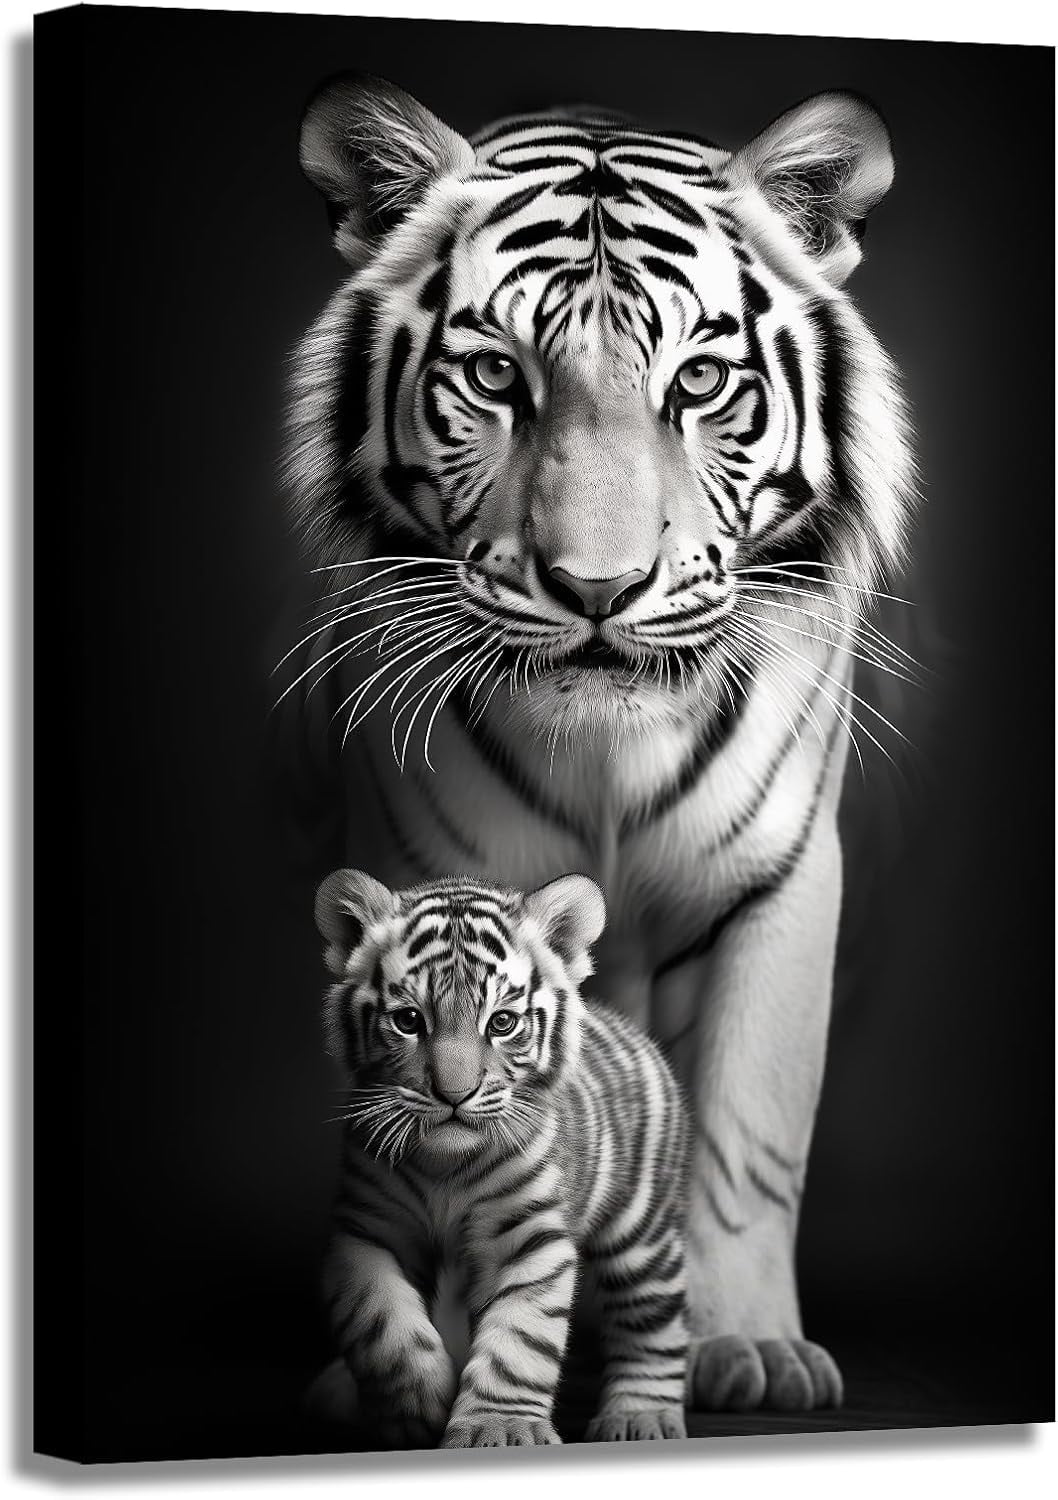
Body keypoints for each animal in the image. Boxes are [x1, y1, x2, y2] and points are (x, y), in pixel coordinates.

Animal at [311, 866, 688, 1448]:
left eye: (502, 1023)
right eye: (408, 1021)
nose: (454, 1094)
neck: (443, 1166)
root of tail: (629, 1028)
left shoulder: (529, 1237)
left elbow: (520, 1340)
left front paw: (500, 1428)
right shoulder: (365, 1231)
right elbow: (380, 1319)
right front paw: (419, 1407)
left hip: (641, 1229)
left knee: (653, 1318)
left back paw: (639, 1416)